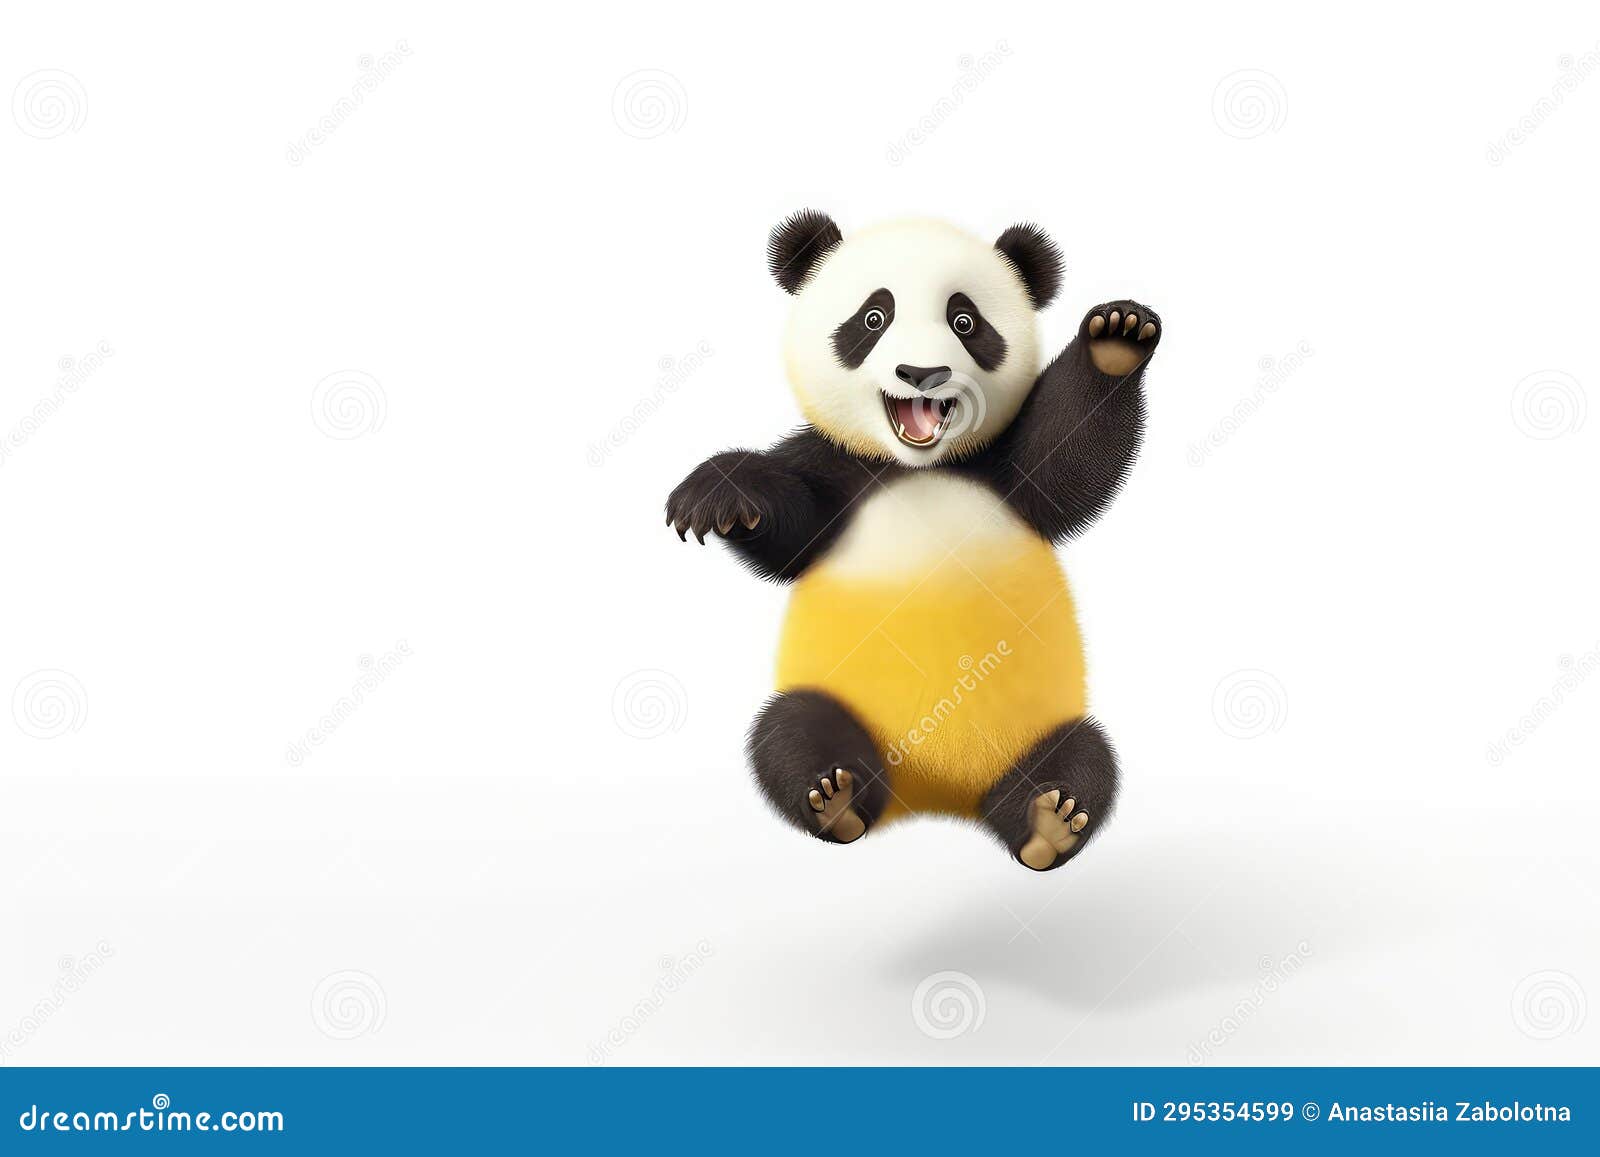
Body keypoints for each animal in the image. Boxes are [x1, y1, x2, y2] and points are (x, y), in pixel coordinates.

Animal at [666, 211, 1160, 872]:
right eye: (874, 318)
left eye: (965, 321)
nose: (922, 375)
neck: (918, 466)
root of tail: (934, 796)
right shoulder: (836, 471)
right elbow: (790, 531)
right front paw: (719, 493)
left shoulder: (1003, 471)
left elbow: (1066, 460)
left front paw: (1115, 341)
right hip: (834, 706)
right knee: (790, 733)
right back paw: (836, 797)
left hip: (1043, 729)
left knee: (1083, 759)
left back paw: (1046, 821)